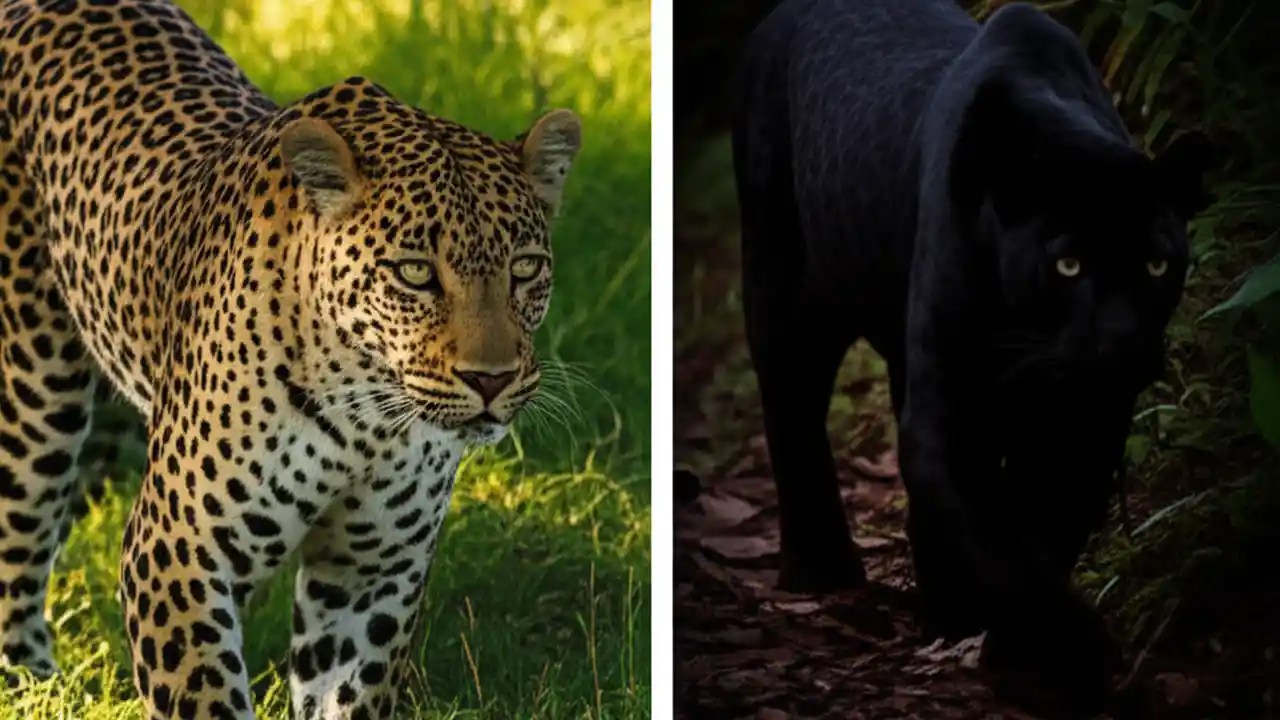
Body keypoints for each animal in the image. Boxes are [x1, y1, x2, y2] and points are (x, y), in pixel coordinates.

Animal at [0, 0, 581, 717]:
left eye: (524, 270)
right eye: (416, 274)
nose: (491, 381)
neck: (365, 412)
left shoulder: (371, 575)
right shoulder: (177, 552)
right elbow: (207, 696)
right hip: (33, 402)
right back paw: (32, 684)